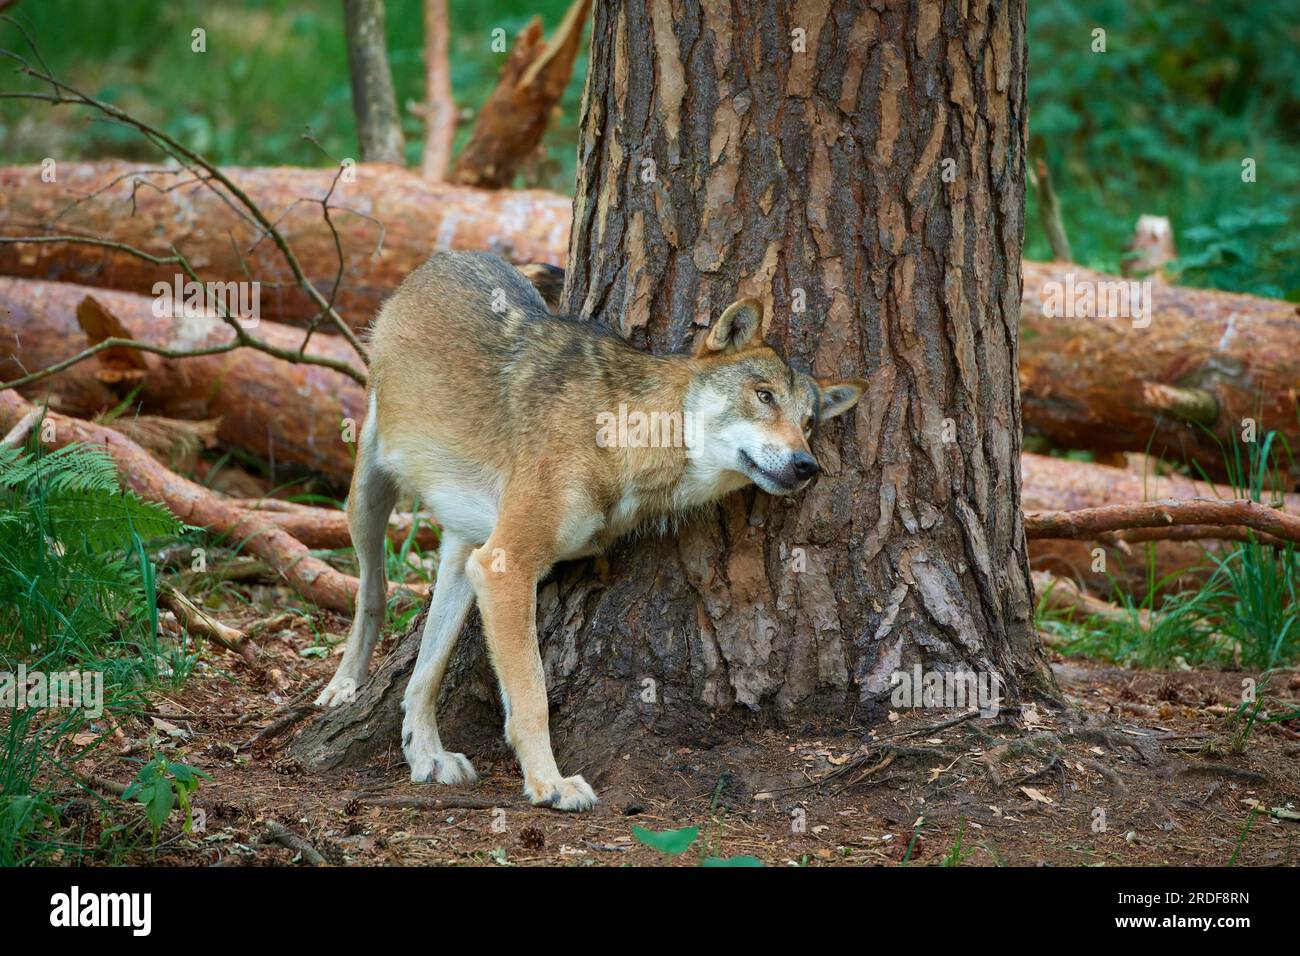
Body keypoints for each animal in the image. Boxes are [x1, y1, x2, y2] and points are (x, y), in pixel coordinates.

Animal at [316, 251, 865, 811]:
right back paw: (344, 687)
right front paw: (549, 783)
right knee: (372, 592)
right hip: (368, 499)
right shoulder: (506, 567)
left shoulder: (488, 562)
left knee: (422, 675)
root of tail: (449, 258)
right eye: (764, 396)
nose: (808, 465)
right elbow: (532, 696)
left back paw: (425, 755)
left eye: (810, 422)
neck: (624, 436)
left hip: (462, 554)